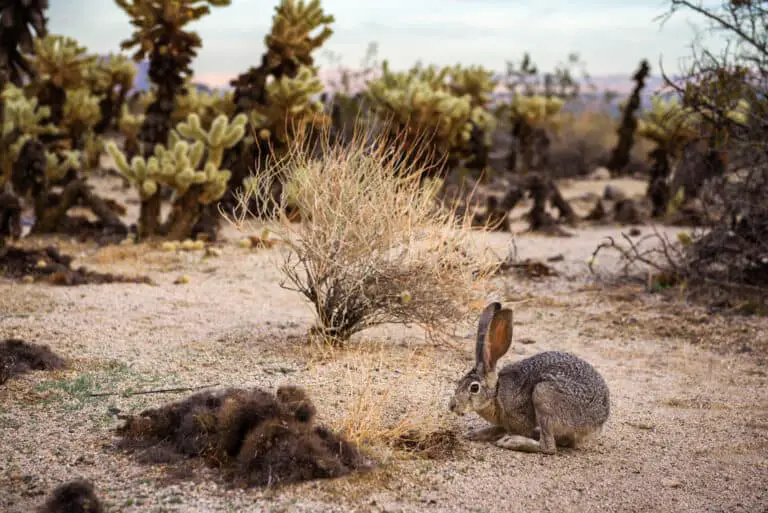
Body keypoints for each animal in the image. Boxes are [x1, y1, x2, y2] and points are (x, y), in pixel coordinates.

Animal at [448, 301, 610, 454]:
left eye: (474, 387)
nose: (452, 406)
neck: (496, 394)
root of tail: (598, 421)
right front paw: (472, 434)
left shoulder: (518, 420)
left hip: (543, 394)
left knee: (548, 447)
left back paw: (513, 442)